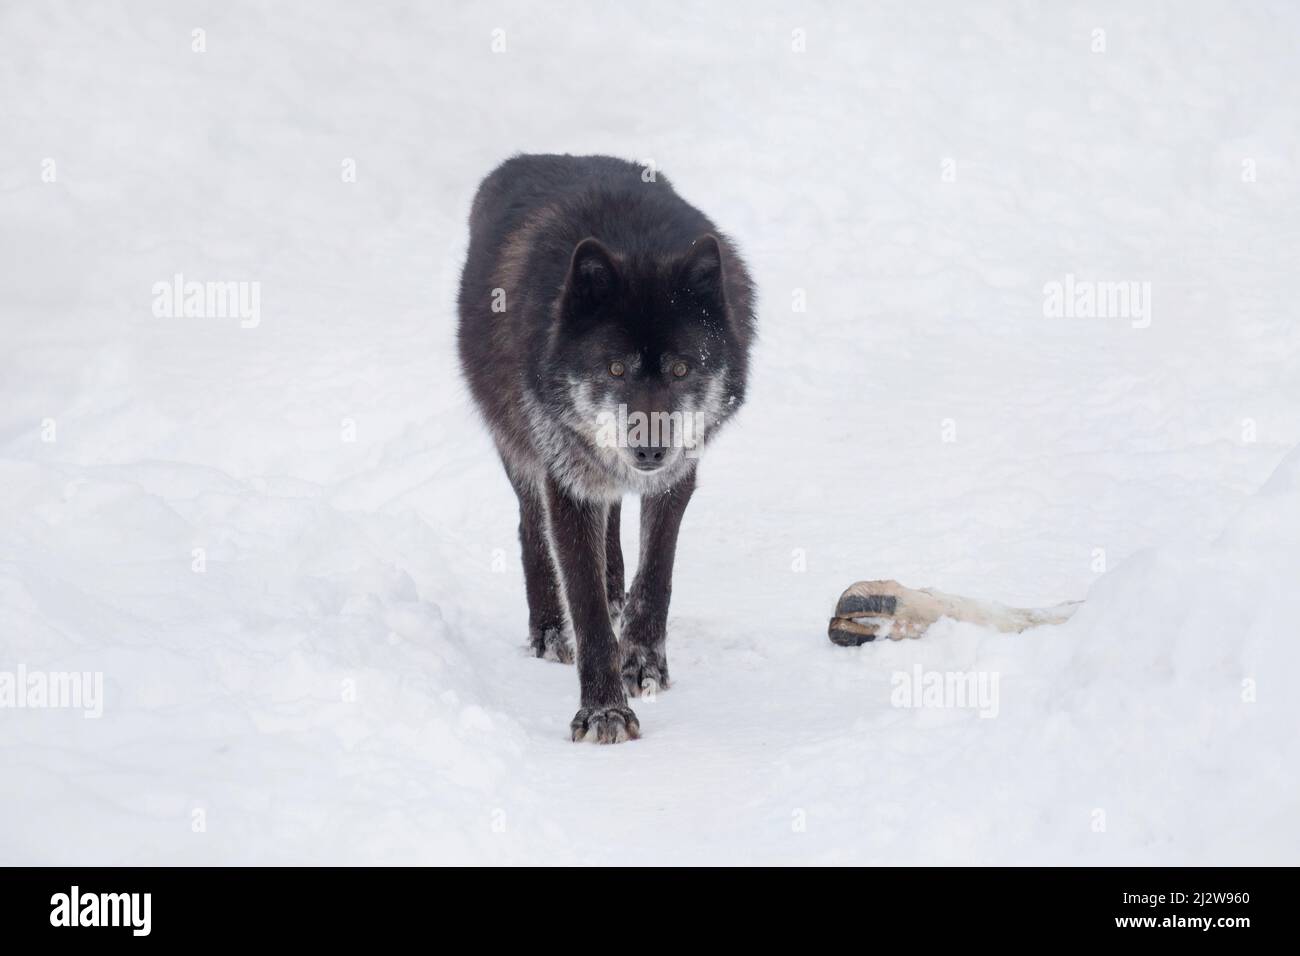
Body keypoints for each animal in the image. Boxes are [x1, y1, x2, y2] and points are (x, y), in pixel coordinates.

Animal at [457, 154, 755, 743]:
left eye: (680, 369)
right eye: (615, 369)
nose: (649, 452)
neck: (633, 244)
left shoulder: (677, 475)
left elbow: (656, 576)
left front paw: (641, 660)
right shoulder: (566, 480)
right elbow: (587, 604)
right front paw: (603, 711)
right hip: (520, 447)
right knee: (531, 528)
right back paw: (550, 630)